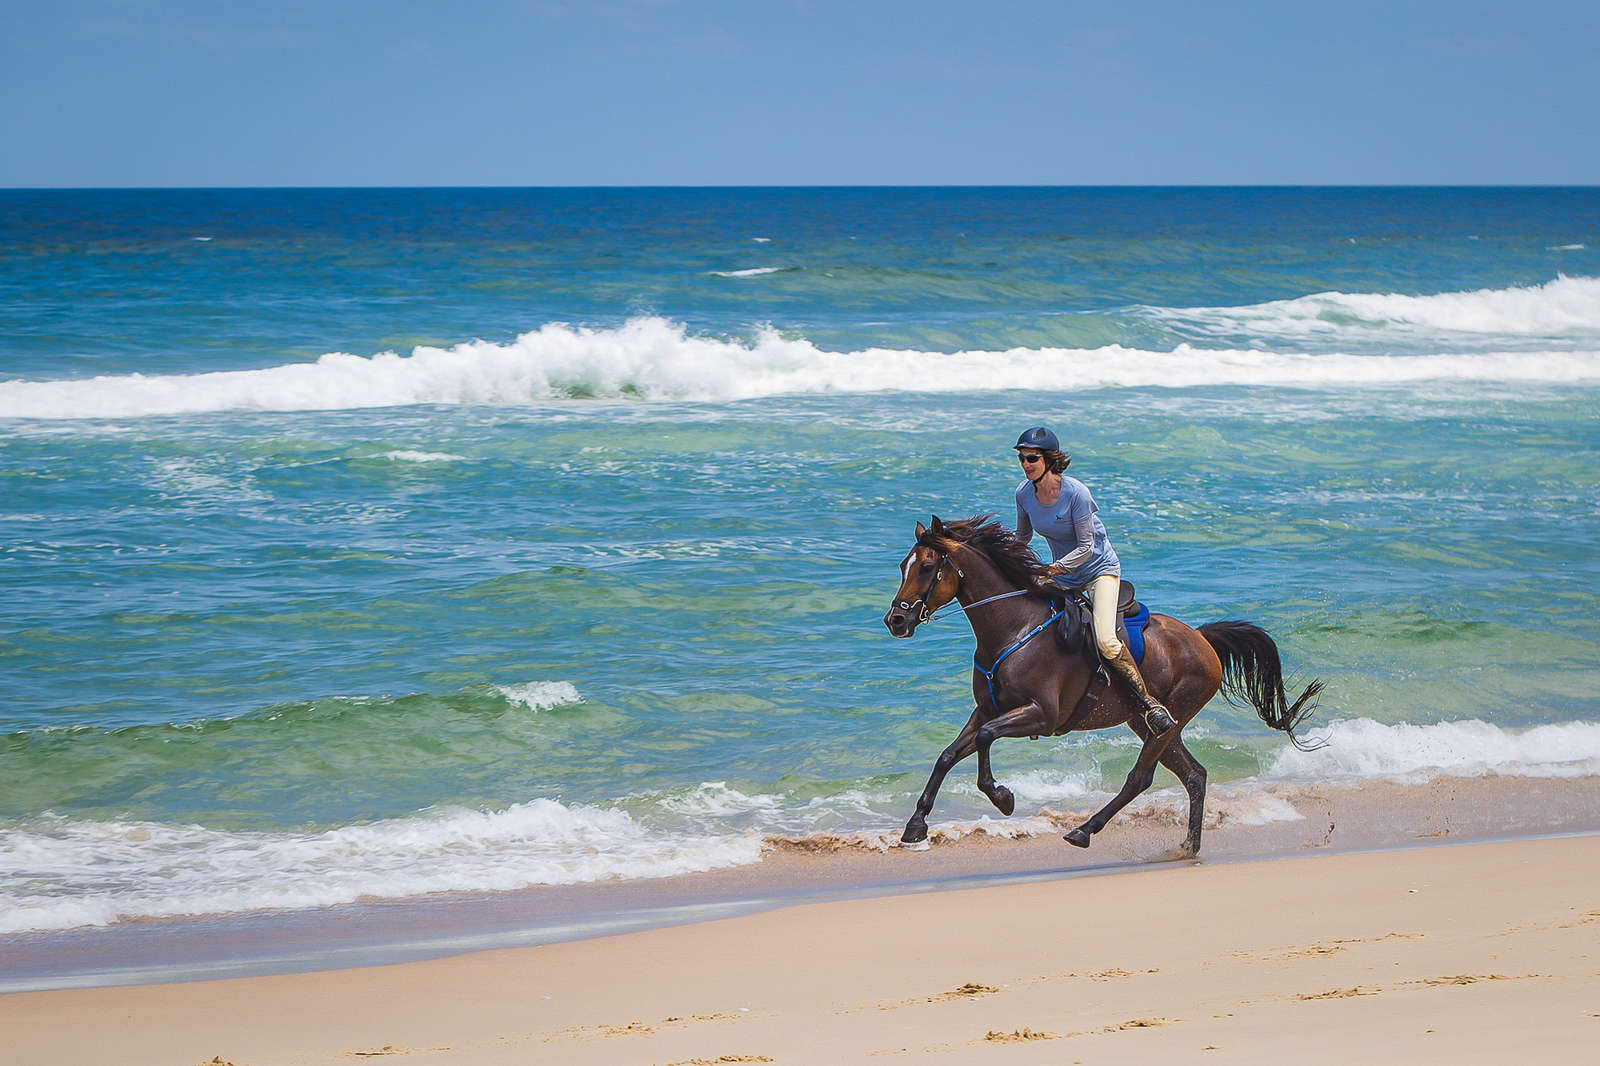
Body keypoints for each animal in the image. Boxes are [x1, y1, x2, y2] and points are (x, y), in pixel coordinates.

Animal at [882, 514, 1322, 856]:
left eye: (926, 567)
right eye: (904, 565)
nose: (896, 621)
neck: (1014, 630)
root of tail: (1202, 639)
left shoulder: (1040, 715)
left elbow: (988, 739)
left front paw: (1002, 797)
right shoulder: (988, 709)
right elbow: (947, 755)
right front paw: (916, 824)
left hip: (1169, 719)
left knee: (1141, 778)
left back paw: (1084, 830)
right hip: (1143, 721)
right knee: (1194, 775)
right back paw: (1188, 846)